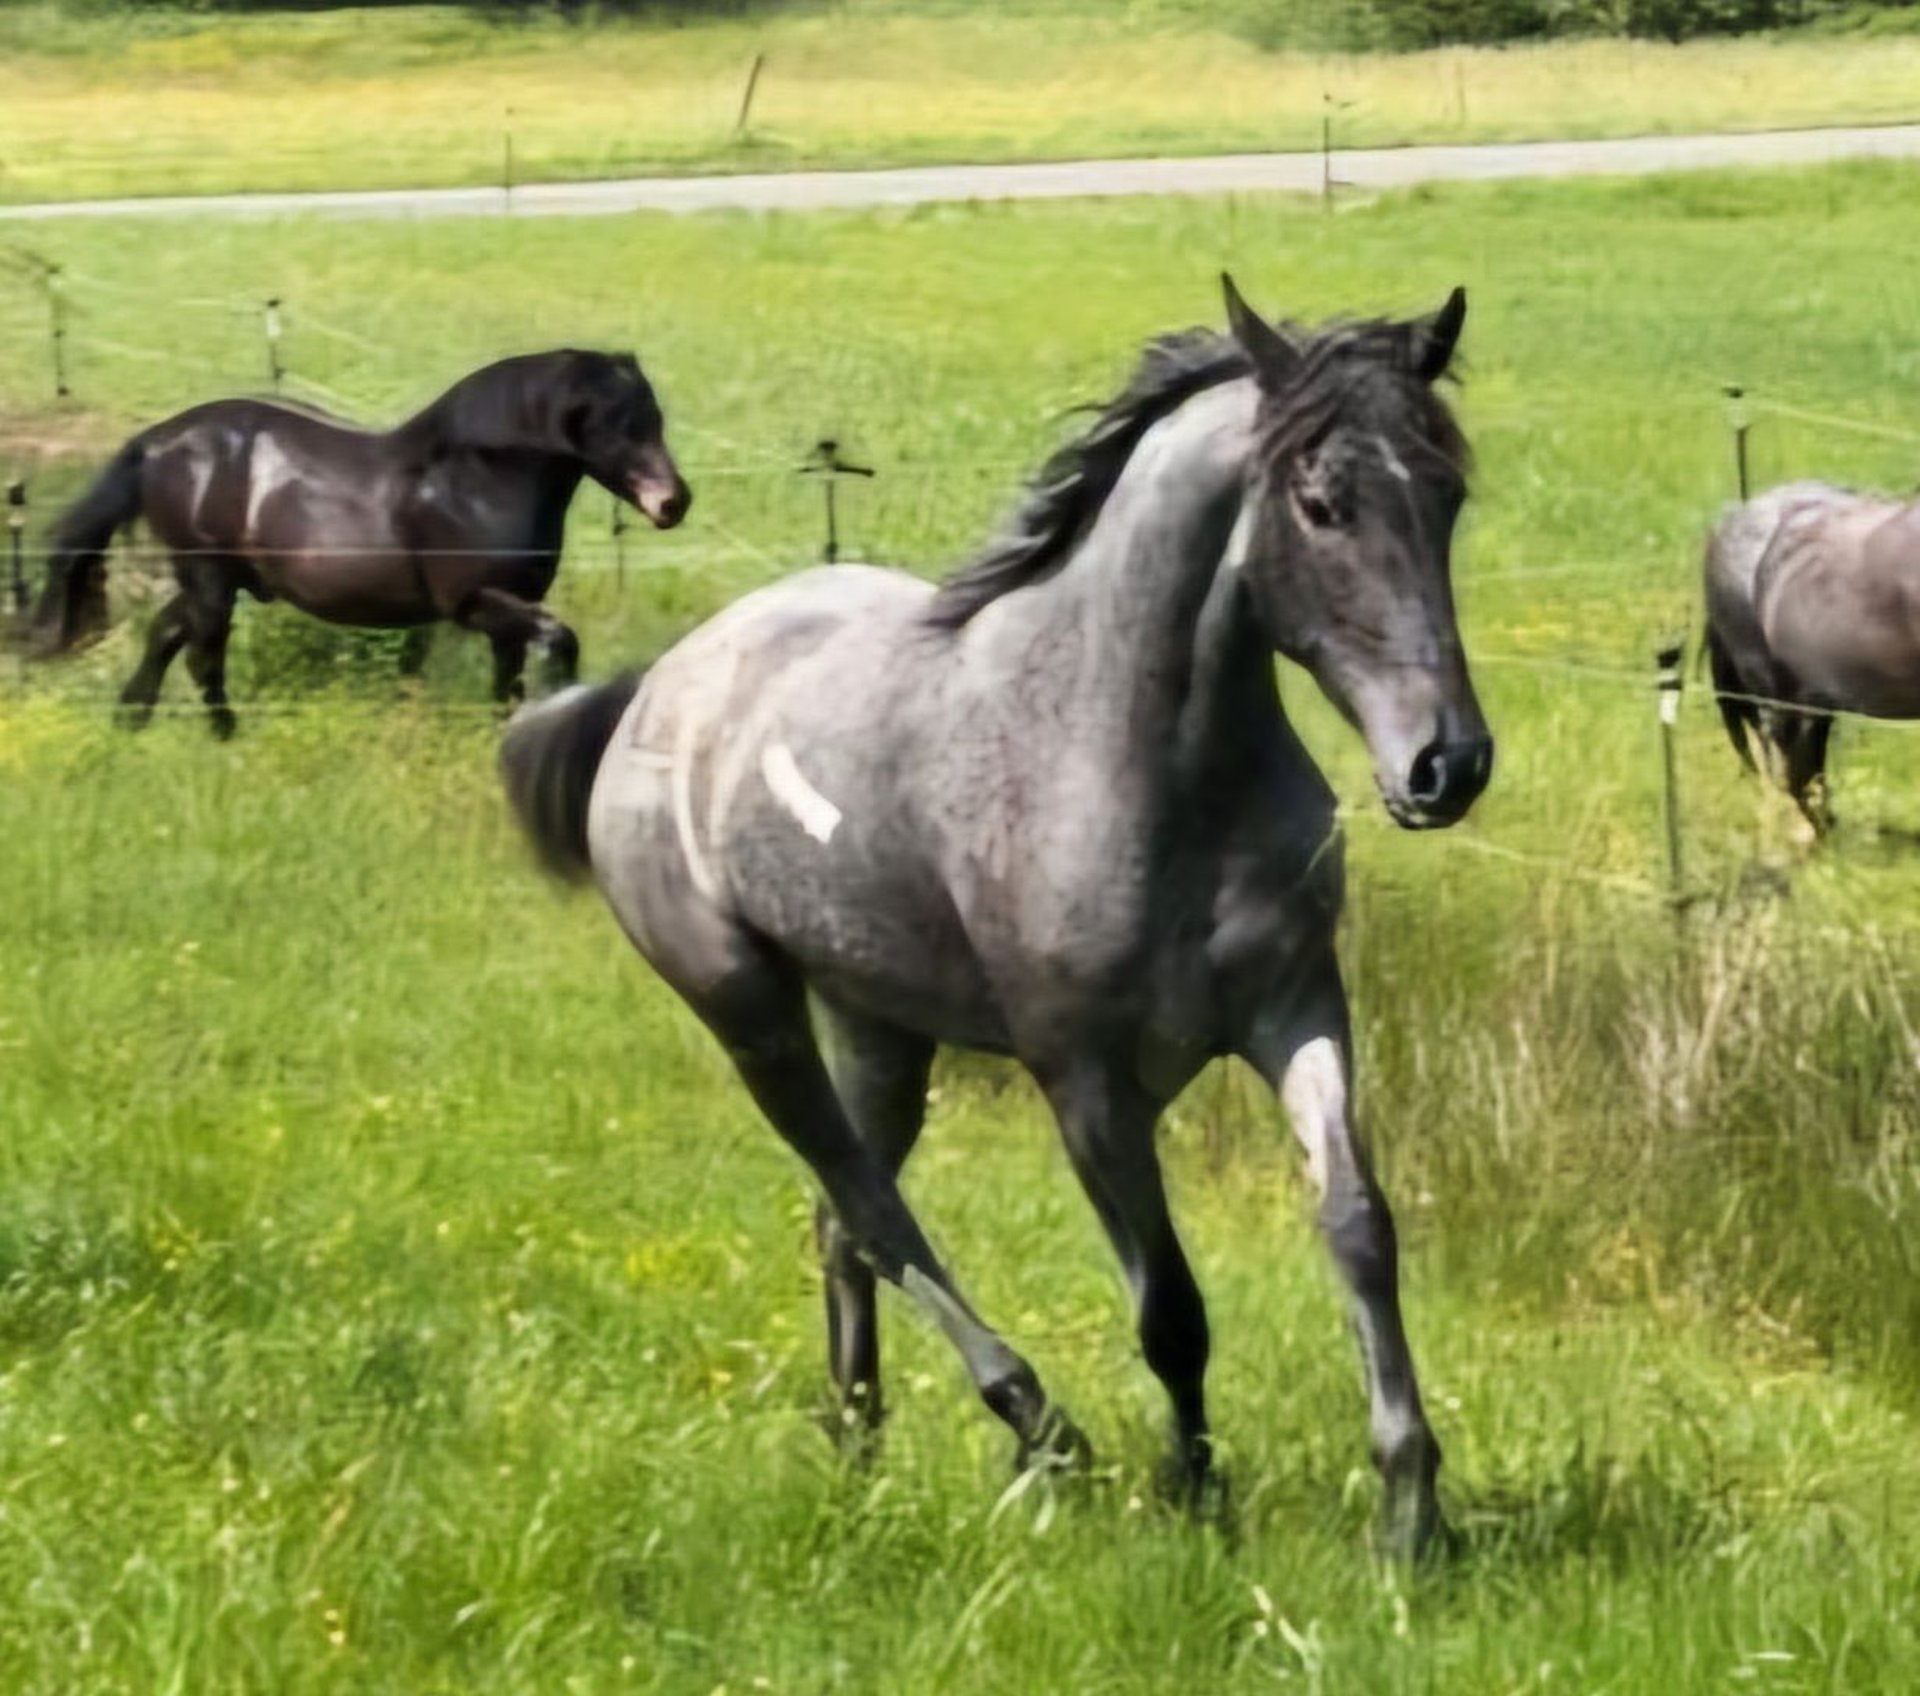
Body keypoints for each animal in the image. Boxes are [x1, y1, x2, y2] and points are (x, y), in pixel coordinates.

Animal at [28, 348, 690, 733]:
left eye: (655, 419)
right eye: (617, 425)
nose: (673, 502)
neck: (476, 477)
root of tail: (157, 442)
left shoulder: (510, 608)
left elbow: (509, 680)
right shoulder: (474, 604)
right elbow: (559, 641)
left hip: (214, 579)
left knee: (166, 633)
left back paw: (132, 720)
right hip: (209, 577)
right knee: (201, 655)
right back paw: (225, 735)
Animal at [501, 277, 1487, 1557]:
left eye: (1450, 491)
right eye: (1321, 503)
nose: (1446, 765)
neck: (1137, 756)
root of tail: (653, 691)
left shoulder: (1297, 1012)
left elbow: (1360, 1225)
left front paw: (1410, 1508)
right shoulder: (1086, 1082)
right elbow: (1171, 1306)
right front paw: (1196, 1493)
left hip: (877, 1024)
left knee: (841, 1219)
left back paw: (858, 1443)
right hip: (747, 1008)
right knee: (873, 1212)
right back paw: (1042, 1429)